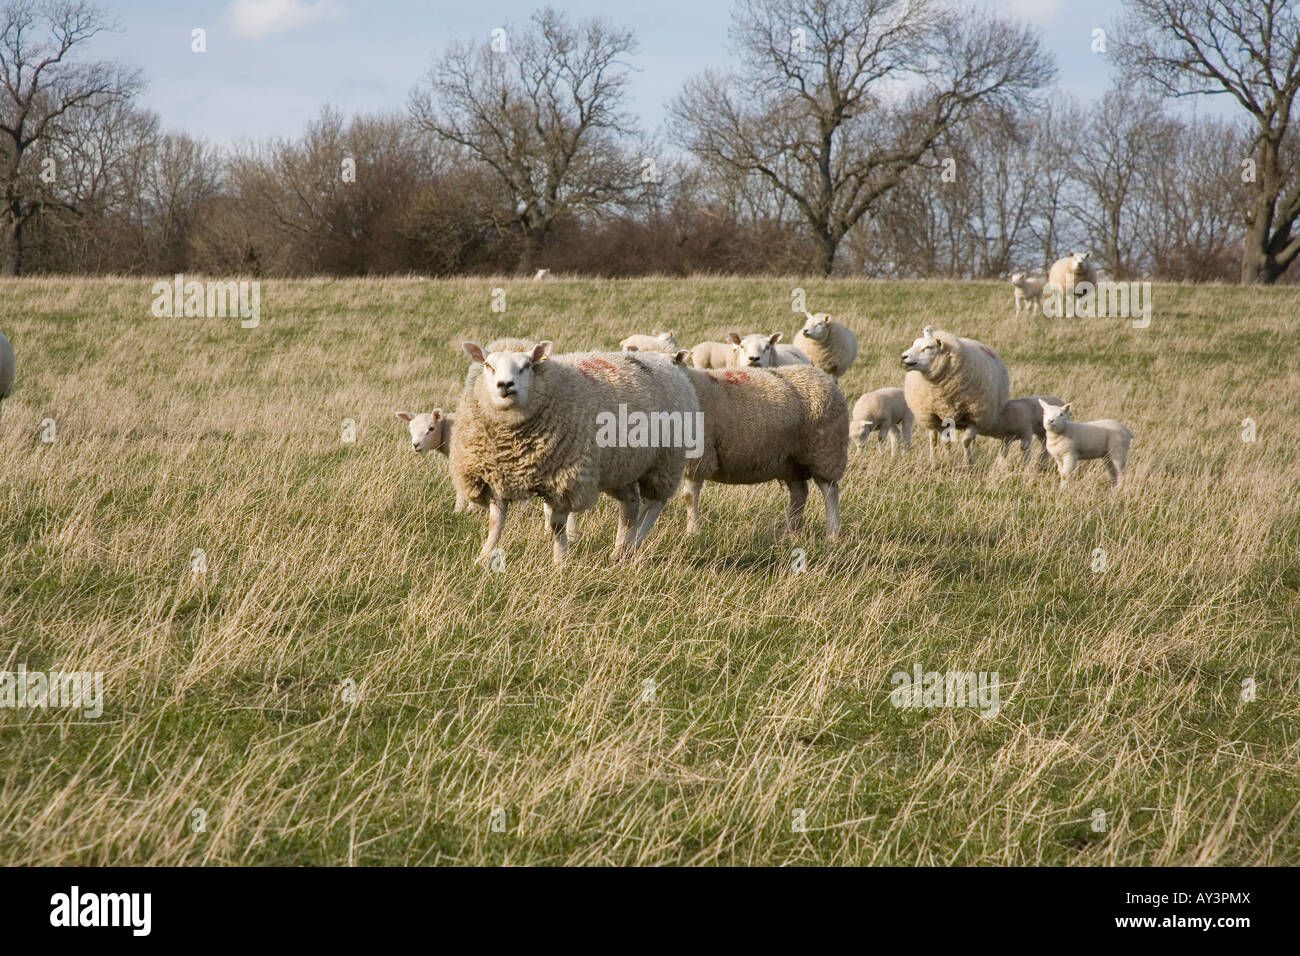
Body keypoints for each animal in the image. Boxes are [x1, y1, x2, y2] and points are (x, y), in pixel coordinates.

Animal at [452, 342, 699, 566]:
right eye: (488, 365)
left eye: (526, 366)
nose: (505, 385)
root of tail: (666, 365)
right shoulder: (495, 478)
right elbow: (495, 522)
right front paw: (483, 558)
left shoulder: (563, 480)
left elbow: (556, 526)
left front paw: (560, 561)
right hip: (621, 465)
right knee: (630, 504)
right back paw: (620, 551)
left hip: (665, 461)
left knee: (654, 505)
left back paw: (635, 543)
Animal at [676, 364, 848, 537]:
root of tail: (822, 375)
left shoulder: (698, 459)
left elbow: (690, 496)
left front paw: (692, 532)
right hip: (791, 460)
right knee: (799, 492)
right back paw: (791, 532)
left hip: (825, 451)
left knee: (830, 491)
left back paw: (832, 533)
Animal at [901, 325, 1010, 466]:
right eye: (914, 344)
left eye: (928, 347)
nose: (903, 357)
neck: (942, 389)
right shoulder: (937, 416)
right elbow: (945, 442)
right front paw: (949, 461)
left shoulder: (975, 417)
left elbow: (966, 441)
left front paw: (968, 463)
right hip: (929, 416)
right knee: (933, 439)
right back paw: (934, 461)